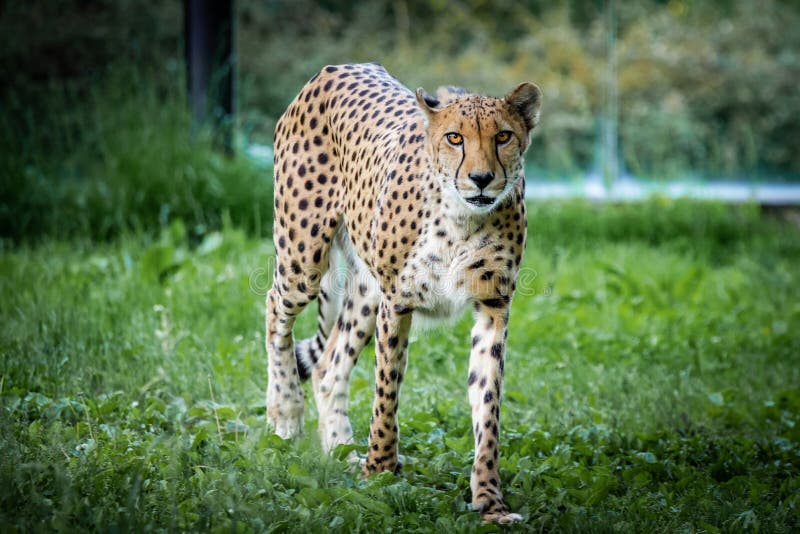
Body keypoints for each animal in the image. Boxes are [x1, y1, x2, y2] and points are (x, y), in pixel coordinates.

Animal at [265, 62, 541, 524]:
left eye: (503, 136)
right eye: (455, 138)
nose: (482, 179)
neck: (462, 218)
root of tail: (339, 67)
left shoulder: (493, 308)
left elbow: (488, 408)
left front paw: (490, 501)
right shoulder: (398, 304)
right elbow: (386, 395)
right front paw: (379, 473)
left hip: (365, 290)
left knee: (328, 366)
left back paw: (341, 450)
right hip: (303, 260)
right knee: (275, 311)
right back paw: (285, 413)